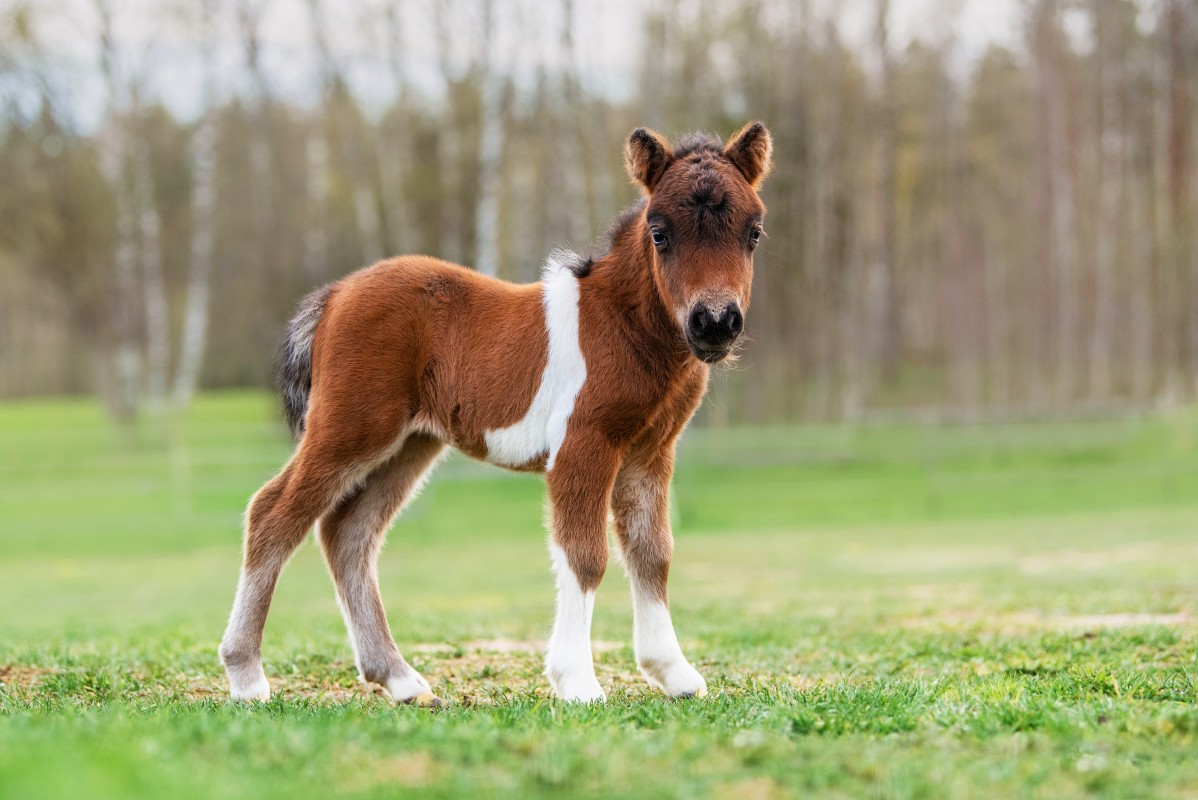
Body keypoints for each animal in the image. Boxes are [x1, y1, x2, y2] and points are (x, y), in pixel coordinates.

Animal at [219, 122, 773, 705]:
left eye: (754, 232)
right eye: (660, 232)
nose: (715, 322)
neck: (621, 326)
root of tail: (337, 293)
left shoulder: (650, 453)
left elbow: (653, 553)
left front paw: (674, 673)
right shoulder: (584, 444)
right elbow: (585, 556)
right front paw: (577, 682)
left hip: (410, 444)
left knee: (349, 535)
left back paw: (399, 678)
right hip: (350, 428)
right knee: (272, 515)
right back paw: (247, 675)